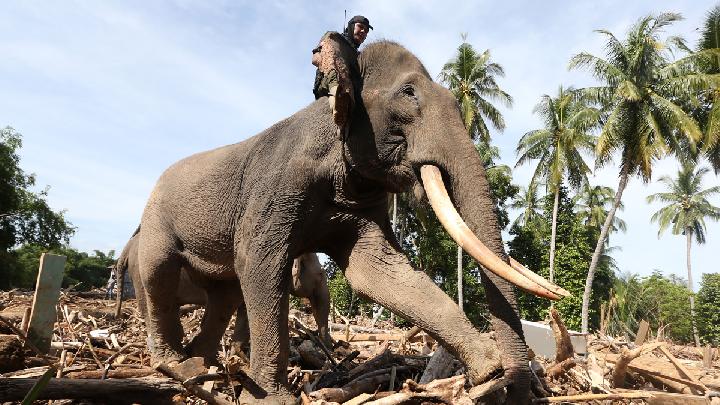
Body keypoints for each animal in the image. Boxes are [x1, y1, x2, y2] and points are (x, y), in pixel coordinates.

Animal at [137, 37, 565, 404]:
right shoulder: (277, 183)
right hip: (156, 219)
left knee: (222, 292)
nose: (514, 387)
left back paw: (199, 364)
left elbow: (375, 271)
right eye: (409, 93)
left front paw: (487, 369)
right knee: (160, 274)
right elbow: (259, 262)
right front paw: (271, 398)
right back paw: (174, 365)